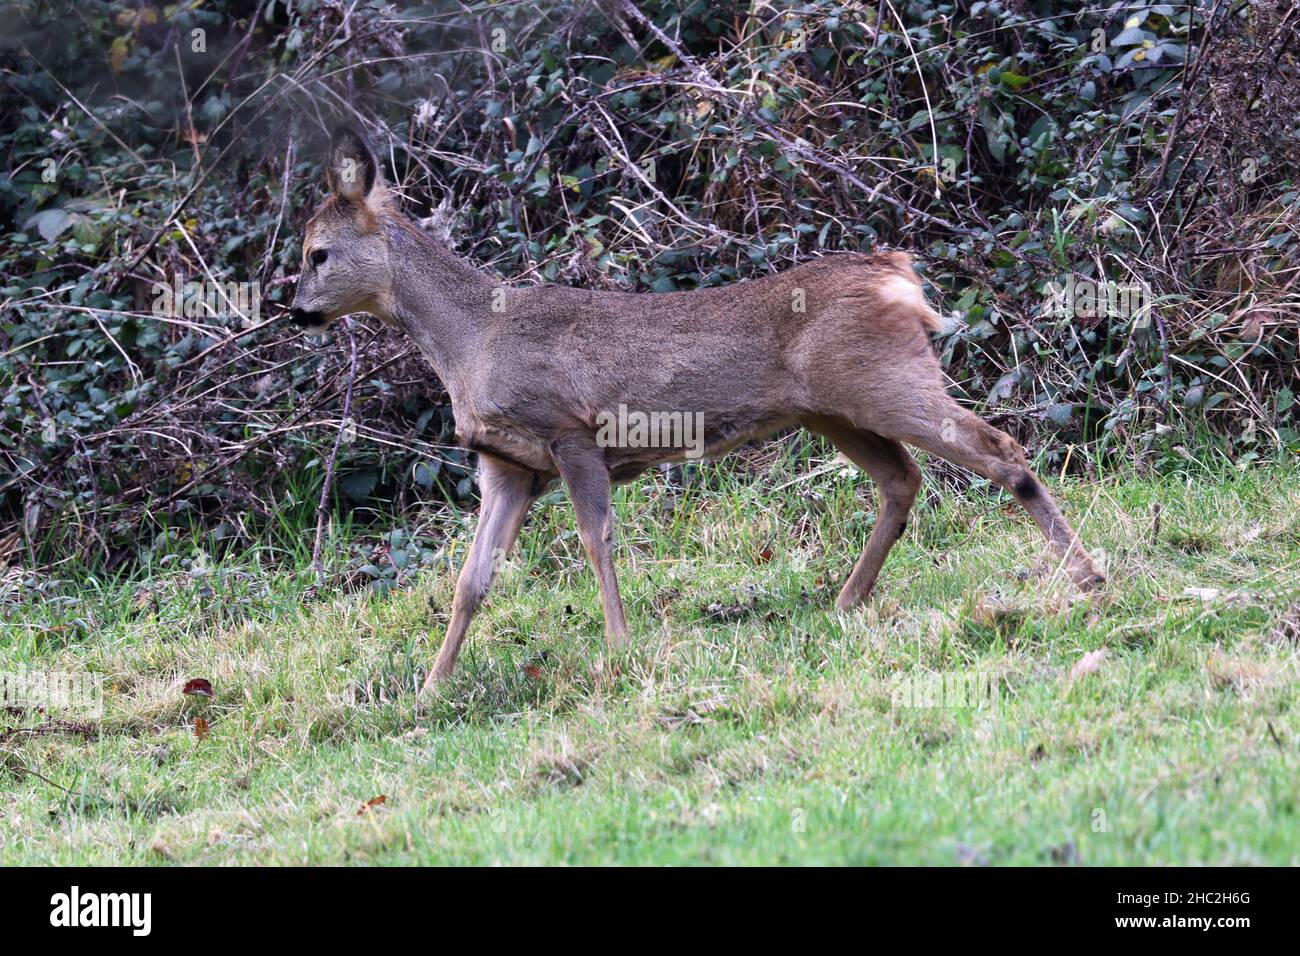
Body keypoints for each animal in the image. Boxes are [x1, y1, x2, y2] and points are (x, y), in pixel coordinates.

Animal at [289, 129, 1105, 694]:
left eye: (316, 253)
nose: (294, 311)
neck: (469, 340)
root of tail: (897, 273)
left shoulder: (569, 430)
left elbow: (597, 541)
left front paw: (619, 650)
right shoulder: (505, 465)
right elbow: (471, 580)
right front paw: (431, 687)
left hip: (884, 381)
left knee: (1000, 449)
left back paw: (1089, 578)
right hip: (835, 410)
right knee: (903, 480)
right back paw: (846, 601)